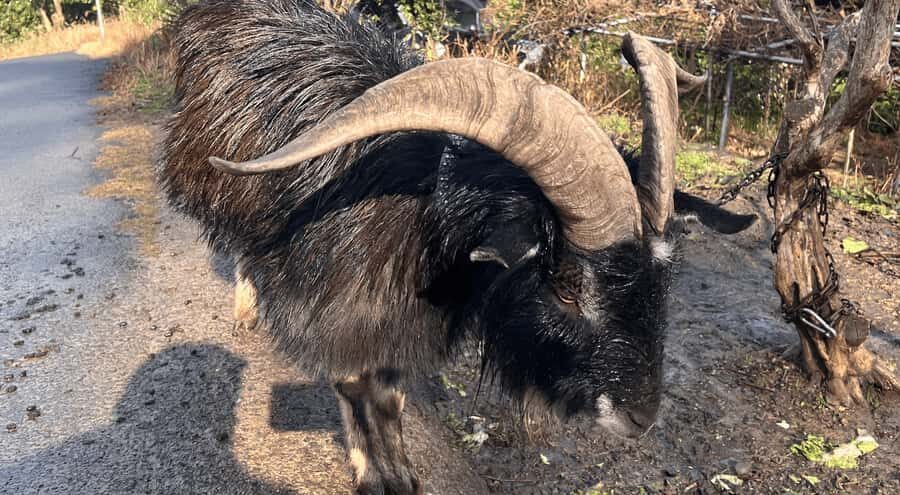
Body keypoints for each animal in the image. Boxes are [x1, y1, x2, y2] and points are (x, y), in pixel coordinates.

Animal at [160, 1, 754, 493]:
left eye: (664, 277)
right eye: (565, 288)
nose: (641, 418)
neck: (421, 211)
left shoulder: (400, 321)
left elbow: (390, 395)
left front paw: (398, 473)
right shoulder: (336, 312)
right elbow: (354, 388)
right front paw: (375, 476)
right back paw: (246, 309)